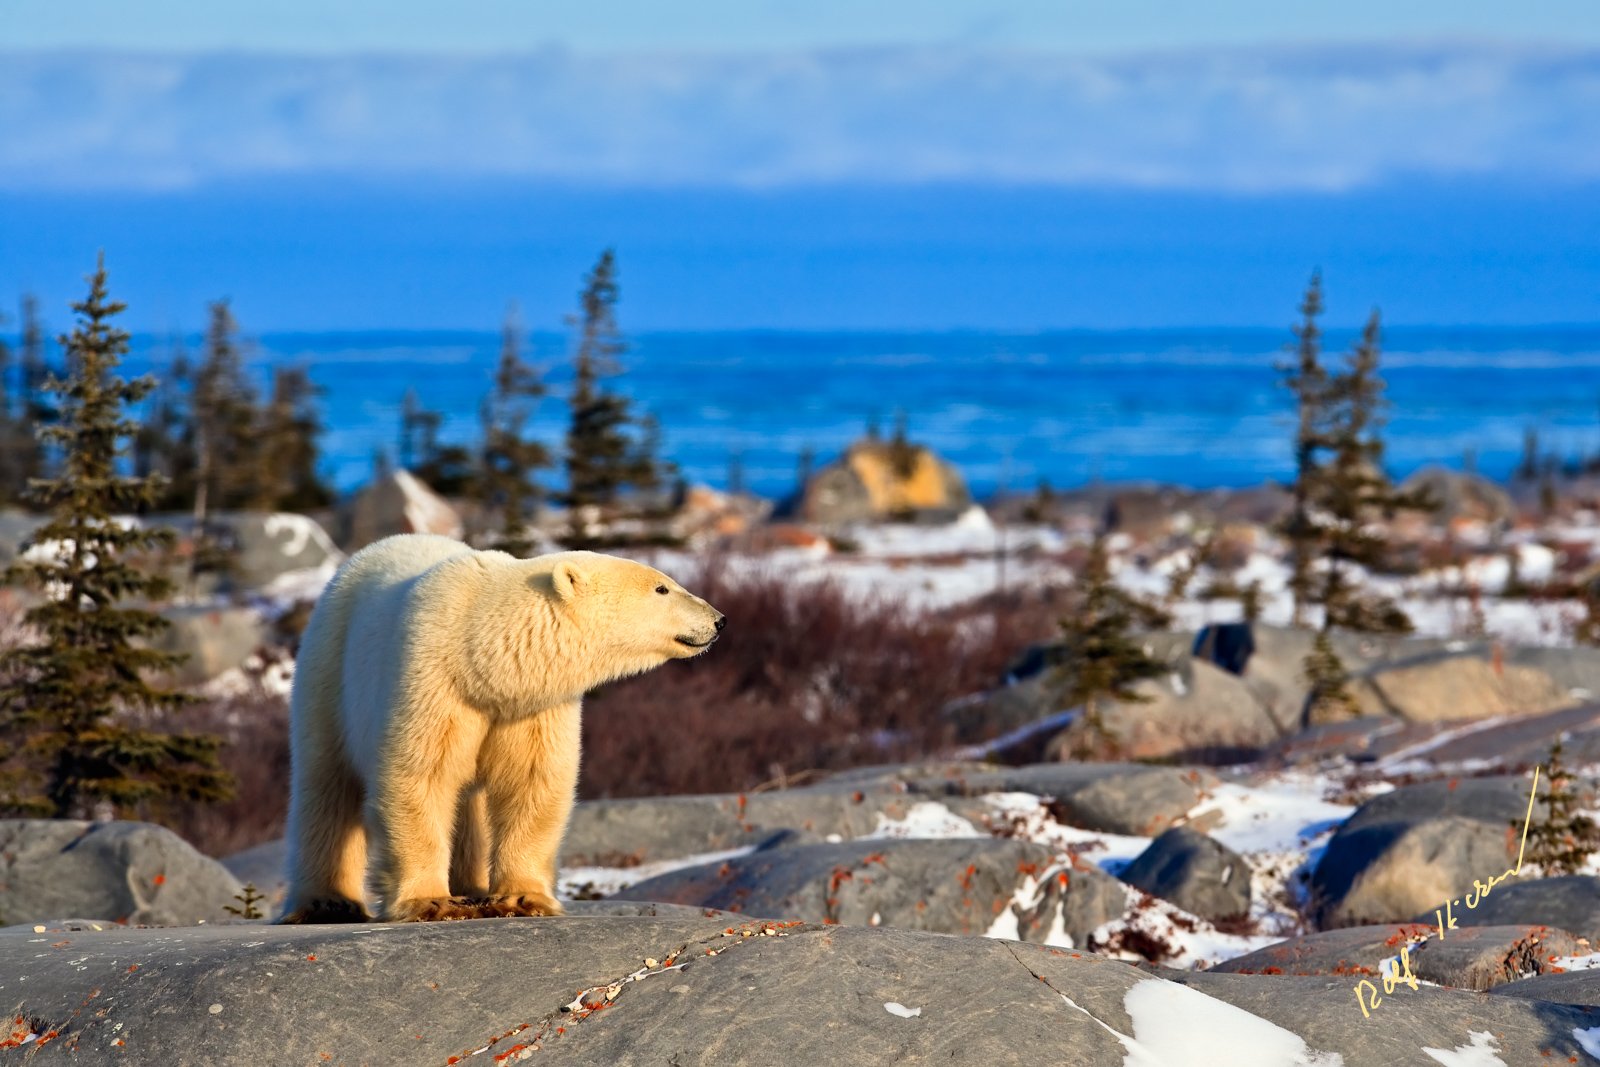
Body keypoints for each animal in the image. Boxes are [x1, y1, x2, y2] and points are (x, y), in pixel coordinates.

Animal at [277, 533, 724, 923]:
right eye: (662, 588)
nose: (719, 619)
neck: (480, 658)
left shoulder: (531, 707)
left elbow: (533, 781)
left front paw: (523, 898)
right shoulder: (432, 681)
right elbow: (420, 777)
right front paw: (430, 902)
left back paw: (472, 889)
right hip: (328, 672)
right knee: (326, 786)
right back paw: (328, 903)